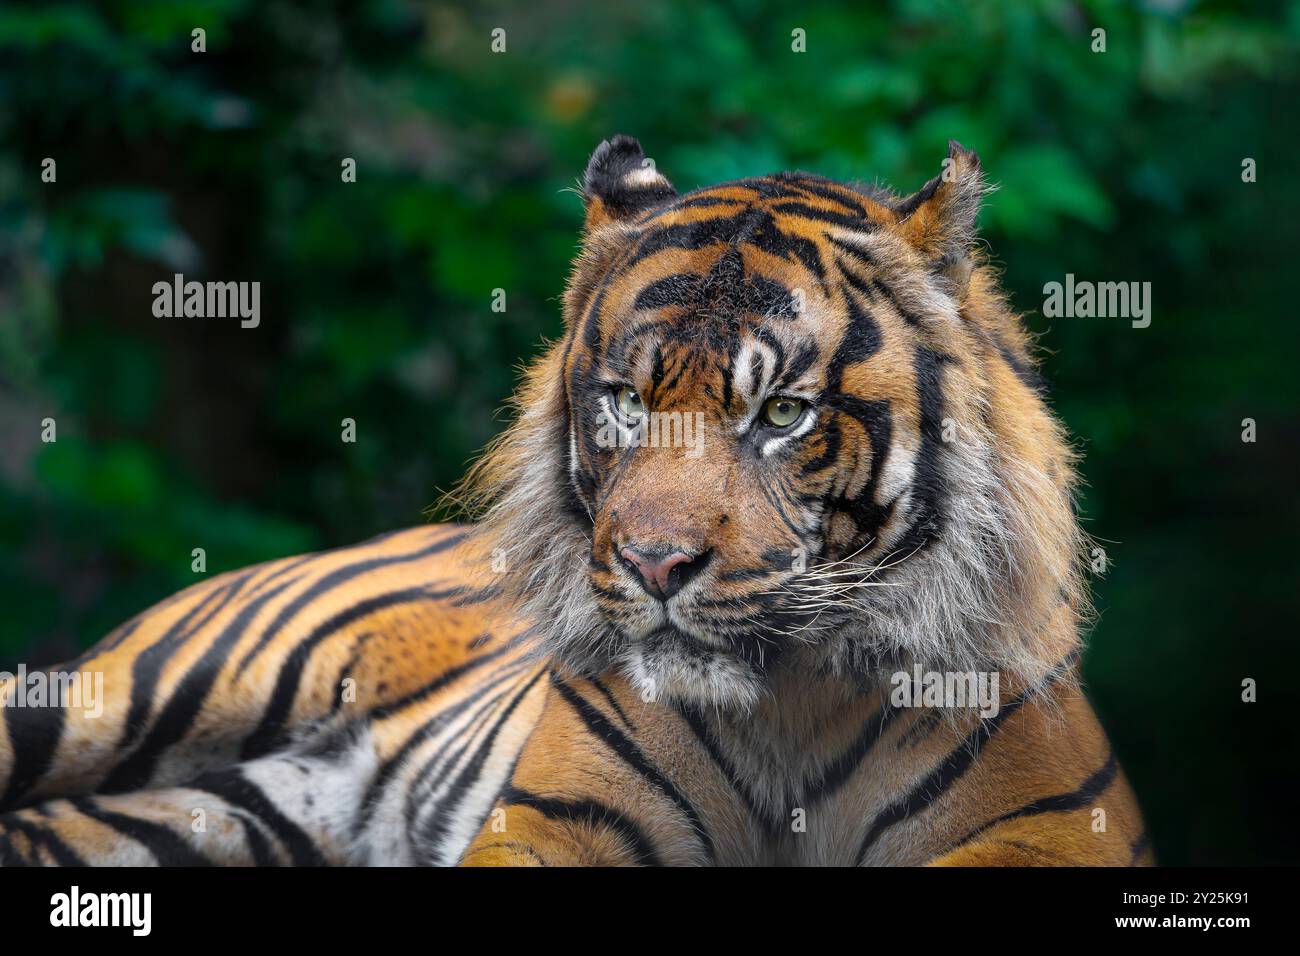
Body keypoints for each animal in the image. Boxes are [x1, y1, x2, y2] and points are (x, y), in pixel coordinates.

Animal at [0, 135, 1151, 866]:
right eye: (626, 403)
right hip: (115, 695)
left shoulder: (1052, 829)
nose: (654, 564)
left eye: (780, 412)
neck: (787, 701)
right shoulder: (559, 819)